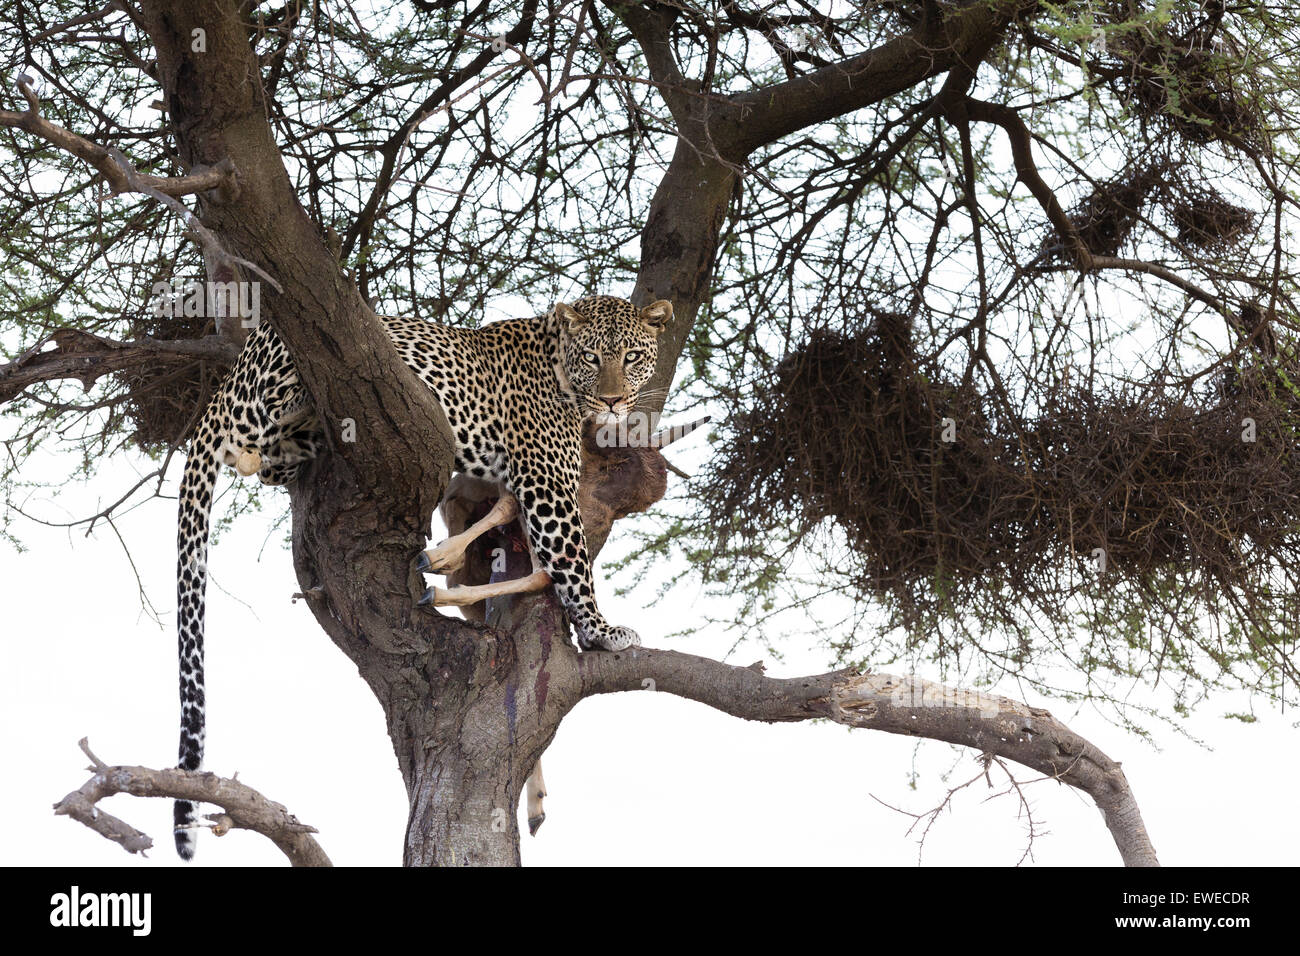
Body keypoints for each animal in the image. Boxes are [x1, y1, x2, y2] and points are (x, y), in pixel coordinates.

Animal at [173, 294, 672, 860]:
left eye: (631, 357)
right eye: (592, 357)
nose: (613, 402)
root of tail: (237, 367)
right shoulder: (547, 485)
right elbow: (571, 561)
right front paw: (601, 630)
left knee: (265, 463)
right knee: (250, 449)